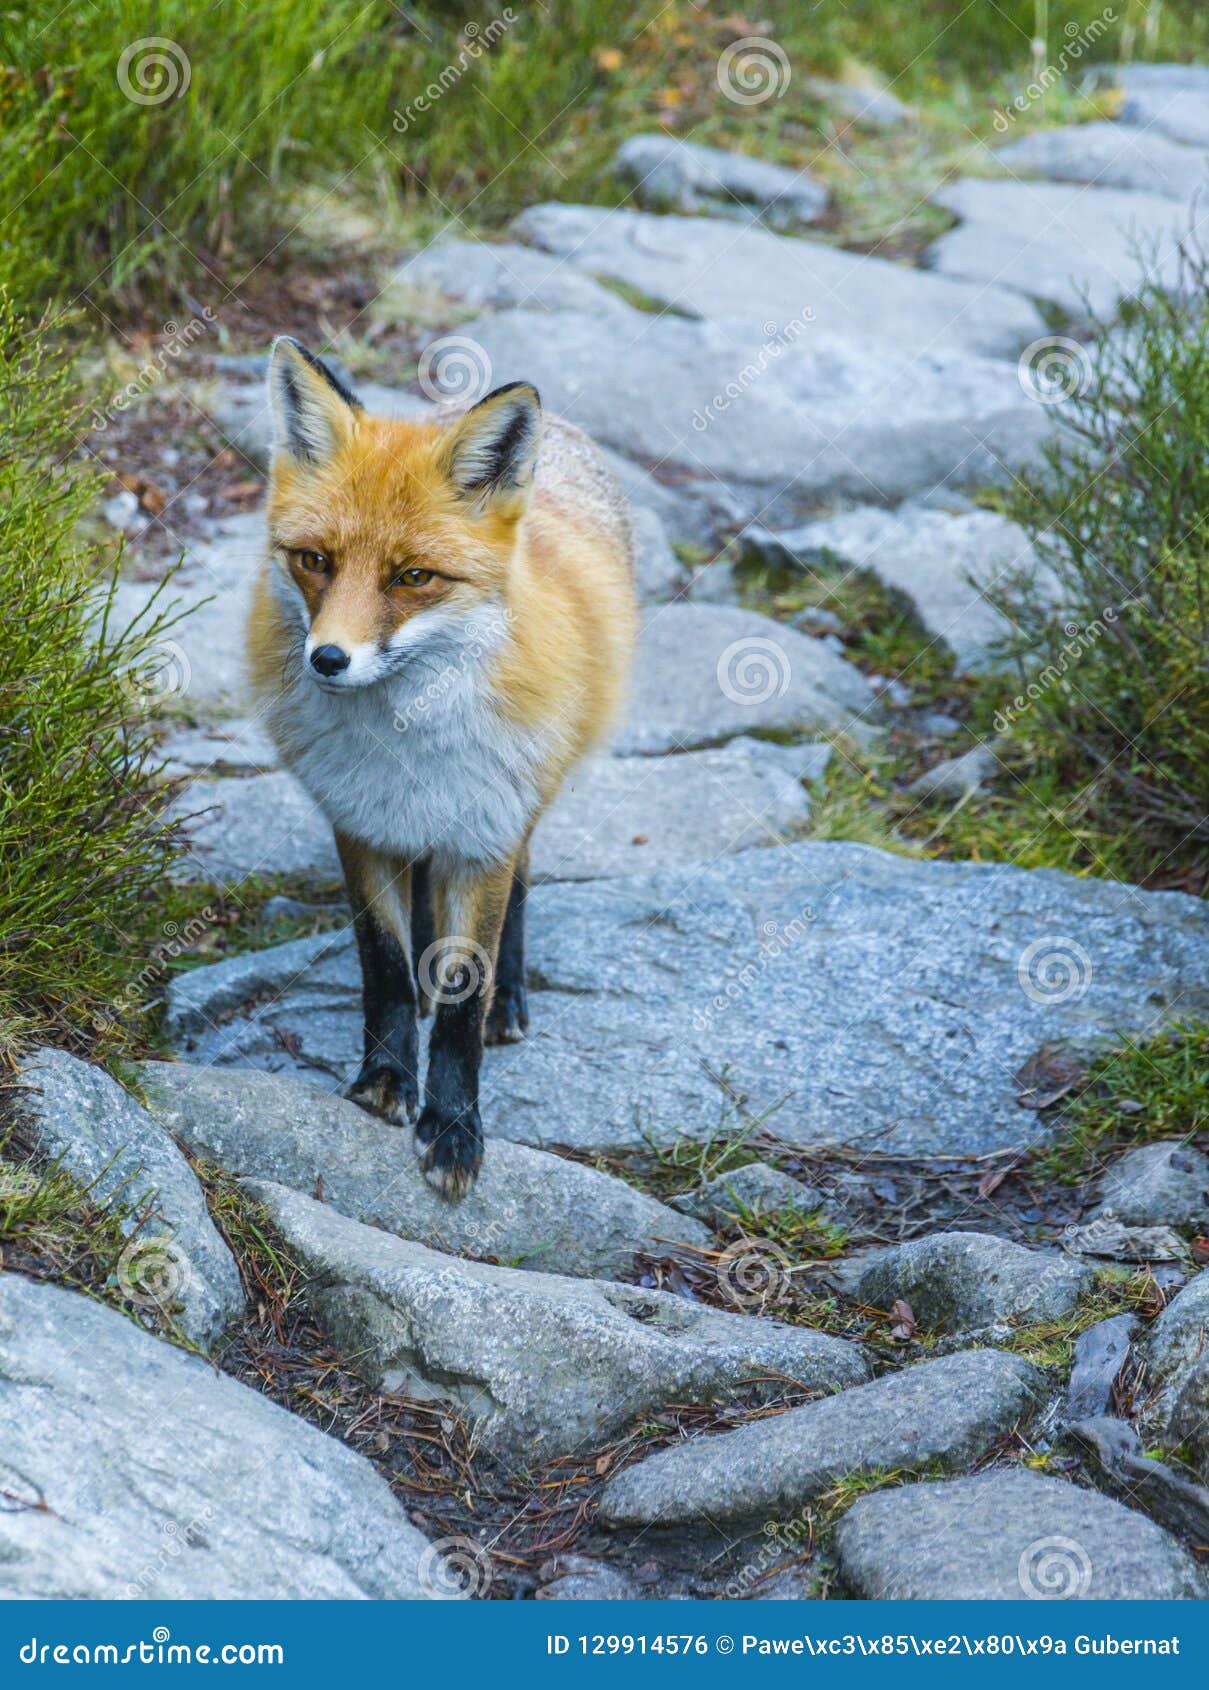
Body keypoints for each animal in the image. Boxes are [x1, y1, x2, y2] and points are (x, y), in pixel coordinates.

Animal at [247, 337, 636, 1199]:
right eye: (314, 560)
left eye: (412, 577)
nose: (327, 660)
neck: (406, 747)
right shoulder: (359, 825)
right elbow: (385, 967)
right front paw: (386, 1081)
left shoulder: (484, 834)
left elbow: (464, 993)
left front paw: (454, 1127)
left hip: (522, 799)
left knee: (517, 893)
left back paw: (509, 1001)